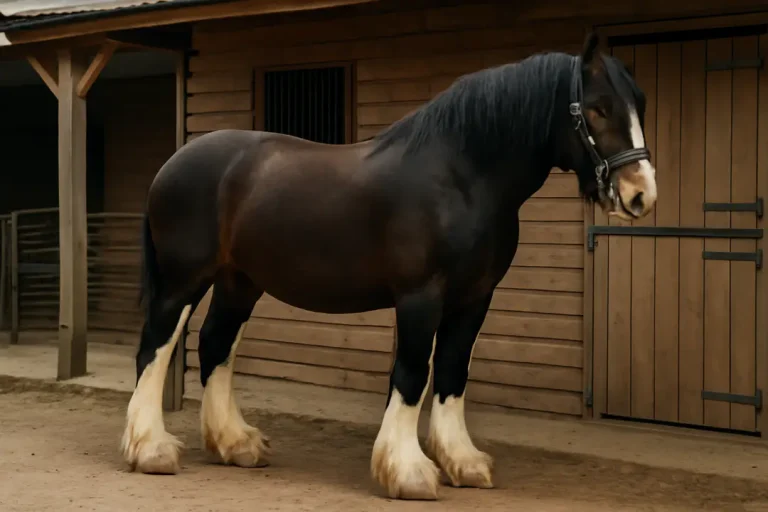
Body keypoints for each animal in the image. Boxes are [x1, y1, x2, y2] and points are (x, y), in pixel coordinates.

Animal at [120, 32, 656, 501]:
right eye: (597, 108)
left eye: (640, 105)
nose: (641, 195)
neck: (460, 177)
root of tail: (171, 165)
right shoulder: (421, 296)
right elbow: (413, 372)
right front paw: (408, 471)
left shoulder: (474, 297)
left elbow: (452, 371)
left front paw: (462, 462)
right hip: (184, 280)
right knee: (156, 347)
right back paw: (150, 450)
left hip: (241, 282)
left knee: (215, 344)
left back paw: (235, 444)